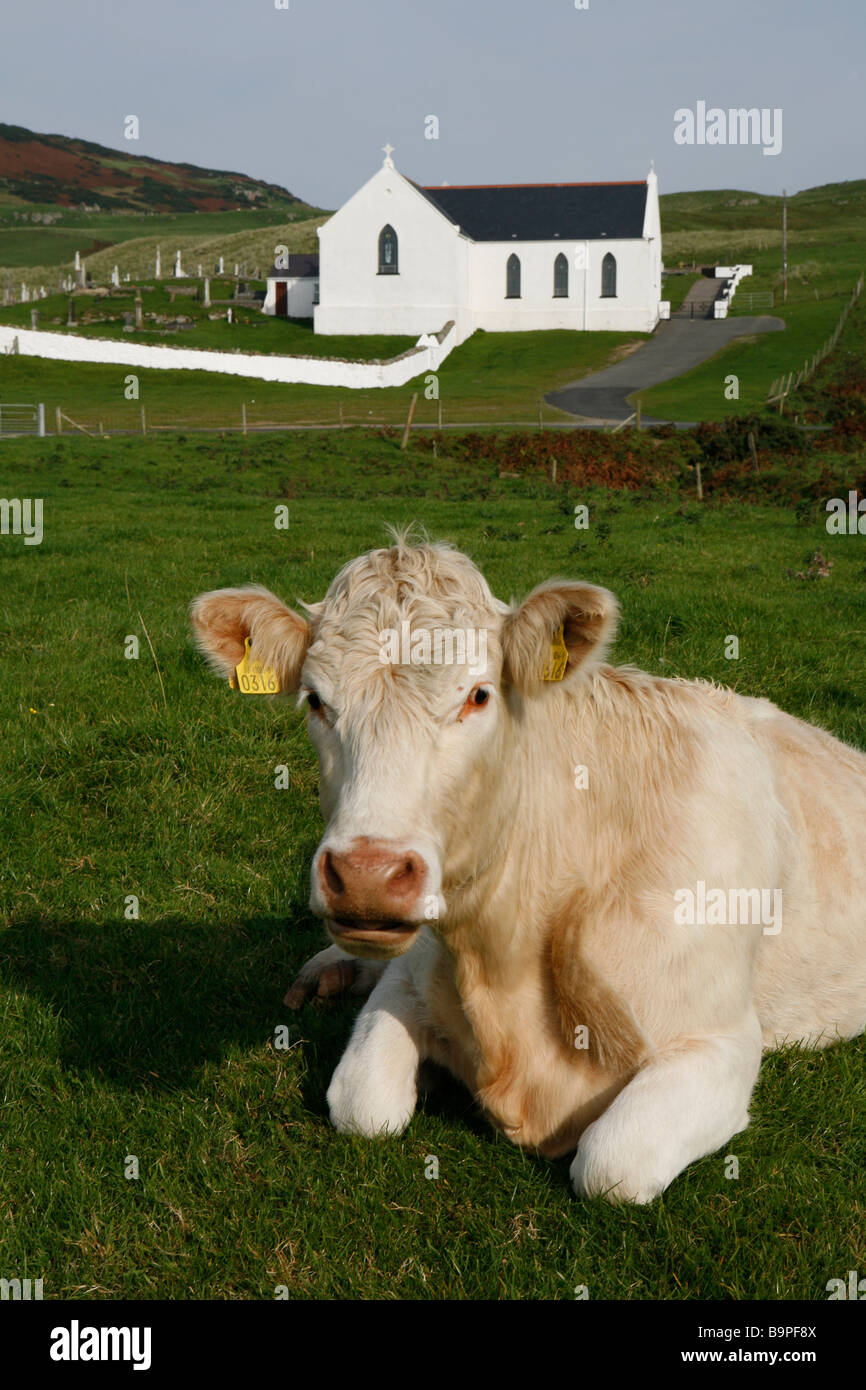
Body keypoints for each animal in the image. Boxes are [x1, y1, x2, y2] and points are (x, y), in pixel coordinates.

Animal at [190, 535, 866, 1203]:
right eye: (315, 700)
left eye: (478, 695)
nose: (366, 875)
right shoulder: (410, 975)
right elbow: (362, 1105)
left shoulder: (720, 1041)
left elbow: (611, 1165)